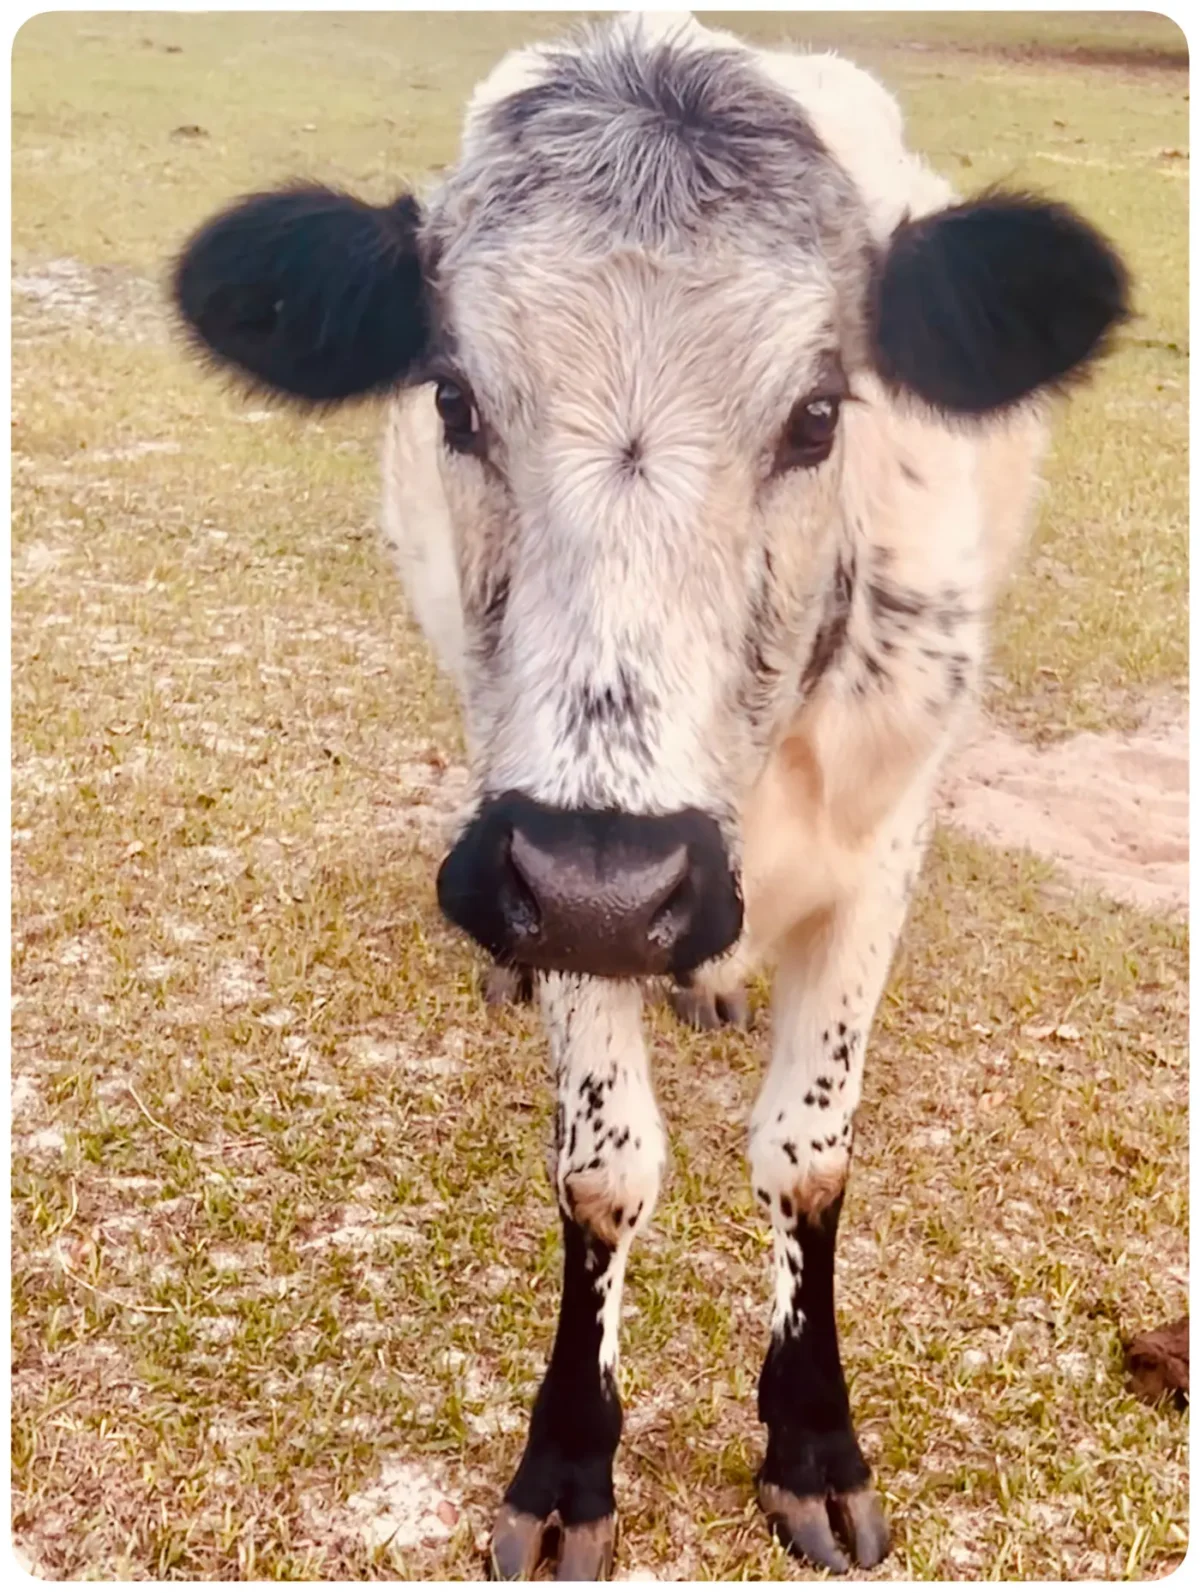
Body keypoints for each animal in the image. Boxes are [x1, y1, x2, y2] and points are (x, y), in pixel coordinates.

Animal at [171, 11, 1129, 1578]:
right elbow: (604, 1169)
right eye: (454, 398)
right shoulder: (556, 859)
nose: (612, 889)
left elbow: (808, 1154)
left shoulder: (880, 838)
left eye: (818, 413)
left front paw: (812, 1442)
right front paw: (569, 1464)